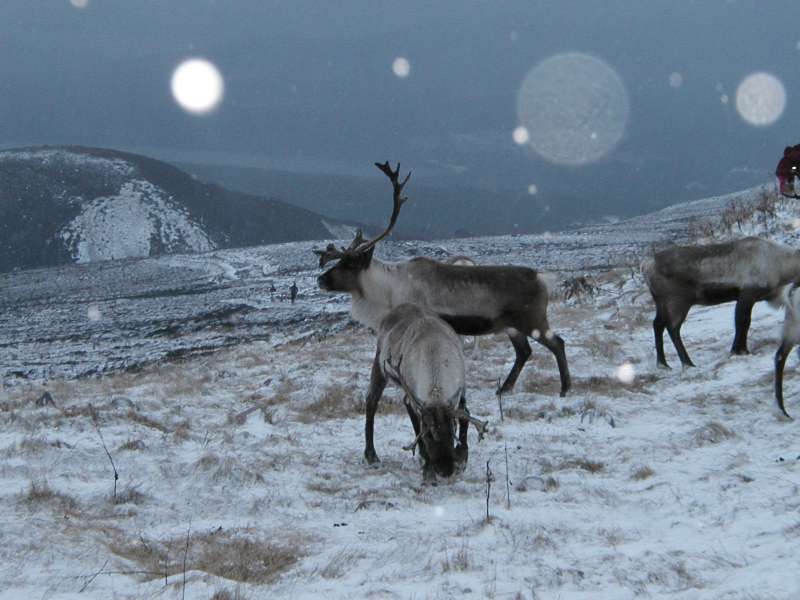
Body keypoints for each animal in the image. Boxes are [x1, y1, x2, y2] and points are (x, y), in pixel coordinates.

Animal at [314, 161, 571, 398]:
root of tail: (541, 277)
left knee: (557, 342)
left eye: (349, 264)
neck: (387, 291)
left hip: (533, 320)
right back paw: (504, 389)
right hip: (511, 326)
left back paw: (565, 388)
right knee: (524, 352)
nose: (320, 280)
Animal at [364, 303, 486, 480]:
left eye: (452, 431)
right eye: (428, 436)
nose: (445, 470)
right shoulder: (413, 397)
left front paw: (462, 457)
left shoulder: (460, 388)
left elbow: (465, 415)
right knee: (371, 400)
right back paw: (371, 456)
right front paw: (427, 466)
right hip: (380, 365)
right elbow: (417, 427)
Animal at [643, 237, 800, 369]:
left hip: (661, 302)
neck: (781, 266)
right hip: (678, 302)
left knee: (657, 324)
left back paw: (663, 364)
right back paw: (687, 363)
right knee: (672, 327)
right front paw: (739, 350)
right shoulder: (747, 294)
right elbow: (742, 322)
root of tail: (647, 267)